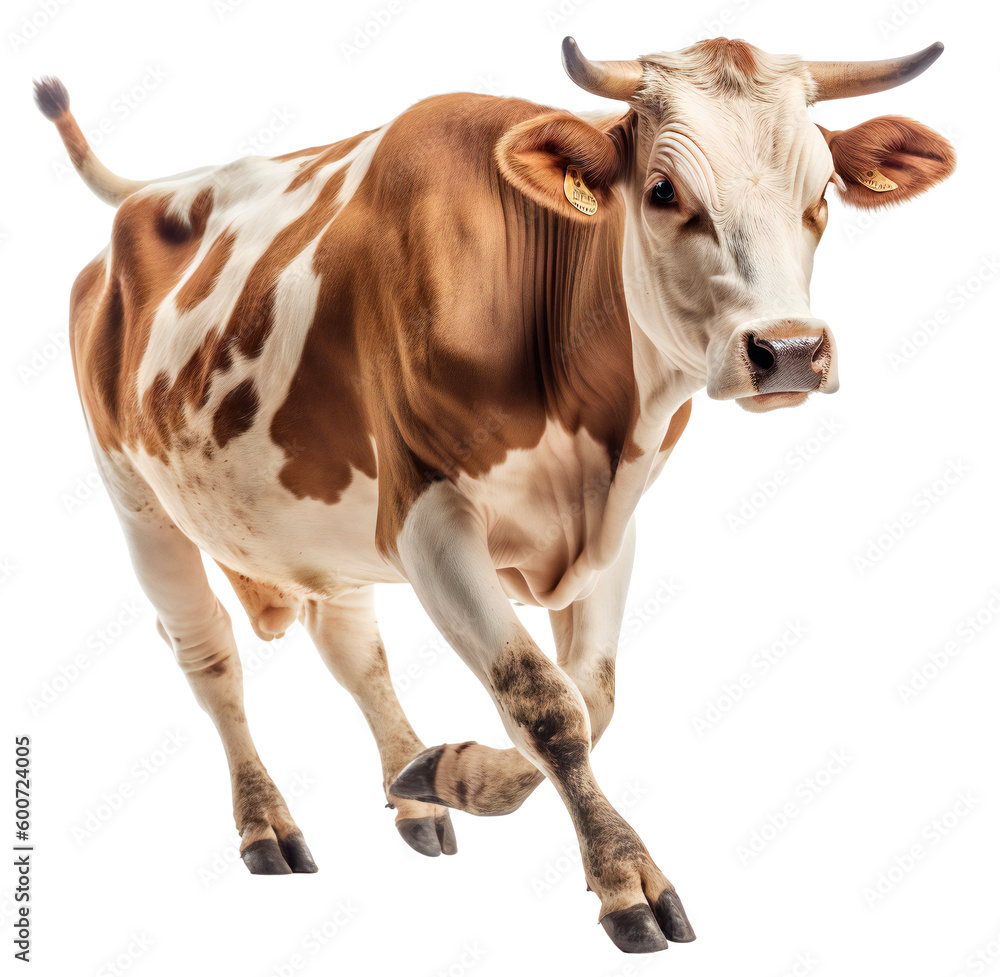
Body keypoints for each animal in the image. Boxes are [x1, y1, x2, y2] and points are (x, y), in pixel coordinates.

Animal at [36, 35, 954, 952]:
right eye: (663, 190)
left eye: (823, 192)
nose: (790, 349)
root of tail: (151, 195)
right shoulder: (427, 517)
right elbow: (545, 700)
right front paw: (626, 880)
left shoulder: (609, 529)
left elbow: (594, 694)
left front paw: (447, 772)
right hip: (136, 500)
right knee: (209, 660)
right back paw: (267, 824)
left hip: (318, 527)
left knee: (351, 646)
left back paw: (411, 791)